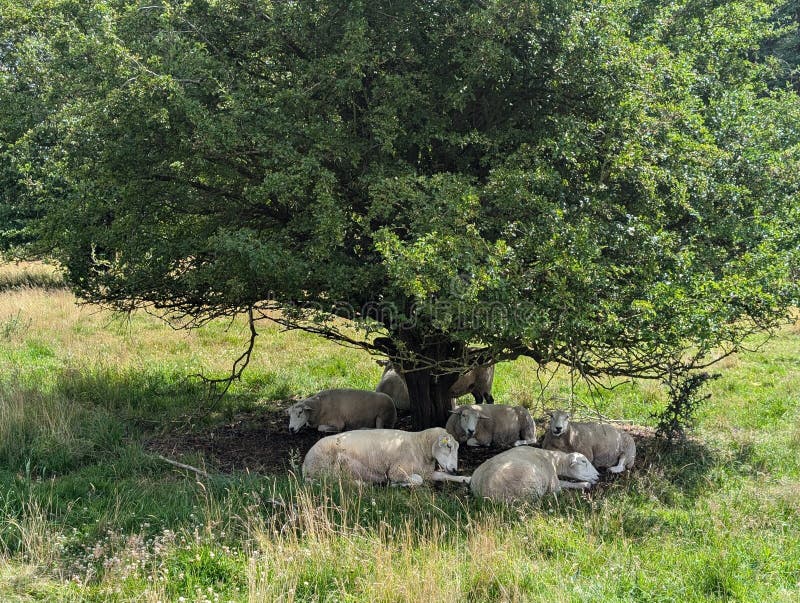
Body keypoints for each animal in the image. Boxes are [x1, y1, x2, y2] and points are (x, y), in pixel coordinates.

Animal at [302, 427, 470, 487]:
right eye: (448, 446)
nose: (455, 469)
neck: (420, 446)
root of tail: (304, 464)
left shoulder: (427, 472)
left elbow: (443, 476)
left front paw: (466, 478)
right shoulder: (396, 471)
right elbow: (418, 480)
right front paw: (398, 484)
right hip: (329, 464)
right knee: (334, 480)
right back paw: (361, 483)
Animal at [469, 446, 600, 502]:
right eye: (583, 461)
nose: (599, 475)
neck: (554, 460)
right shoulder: (553, 481)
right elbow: (563, 485)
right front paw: (584, 484)